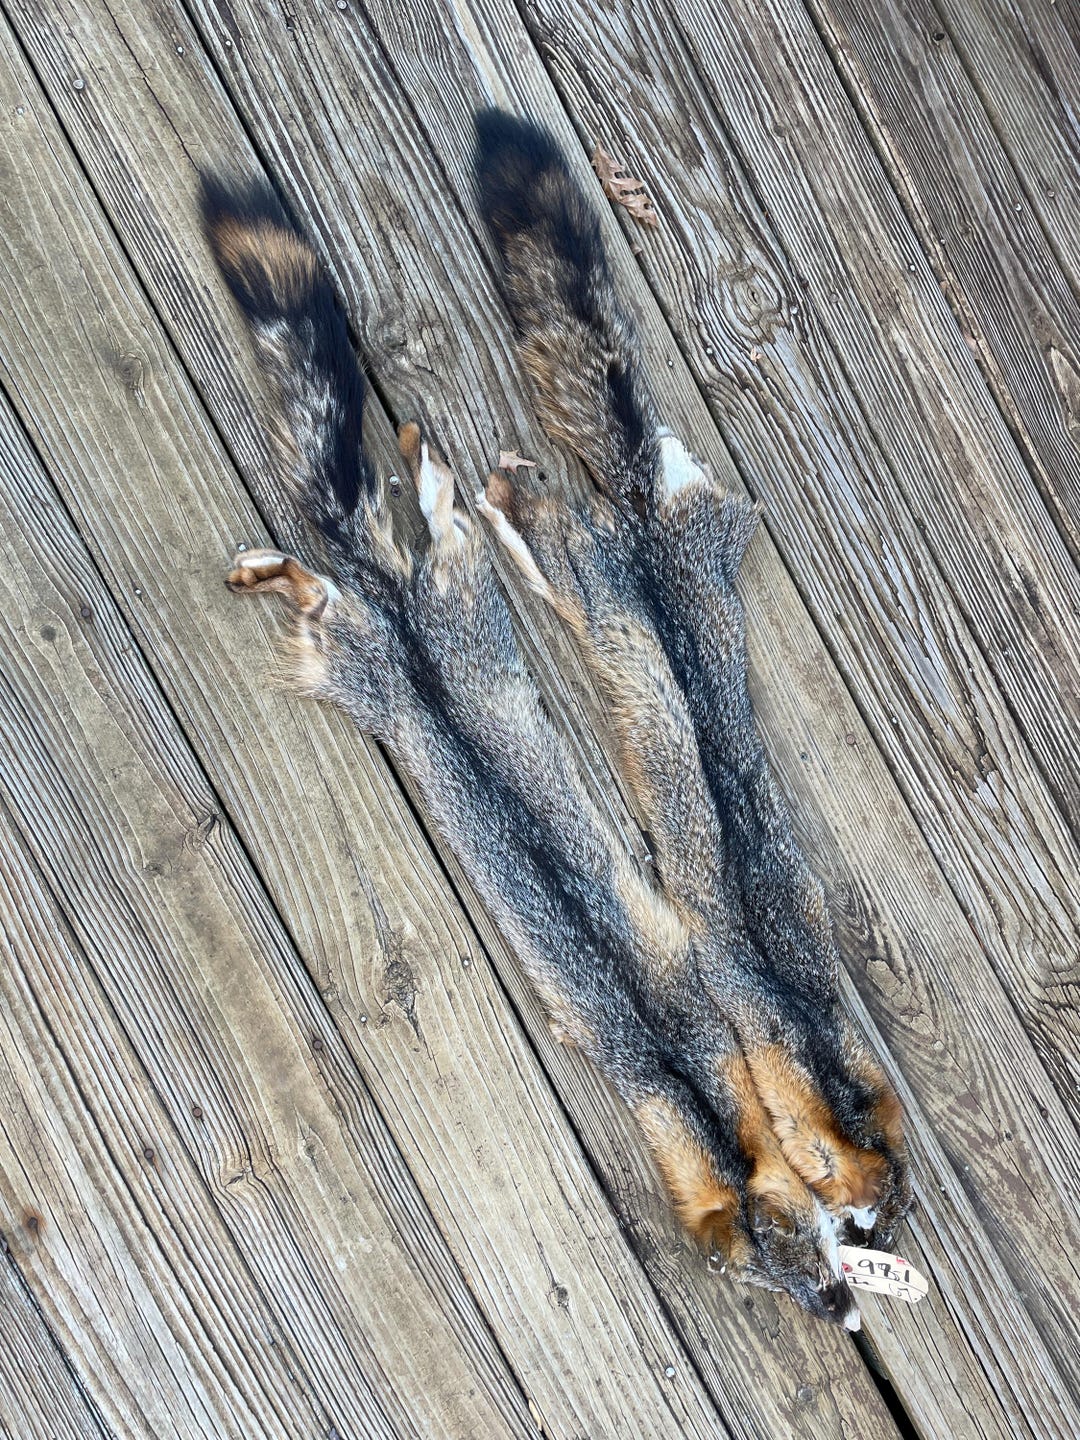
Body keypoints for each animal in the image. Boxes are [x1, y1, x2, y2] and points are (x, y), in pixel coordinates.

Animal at [201, 176, 861, 1325]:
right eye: (796, 1275)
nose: (852, 1307)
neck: (688, 1085)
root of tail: (402, 630)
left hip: (407, 623)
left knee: (366, 556)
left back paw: (373, 498)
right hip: (464, 605)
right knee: (449, 527)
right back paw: (438, 474)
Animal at [471, 110, 911, 1247]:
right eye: (870, 1216)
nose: (867, 1250)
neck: (805, 1038)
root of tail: (644, 513)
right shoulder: (749, 1024)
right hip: (588, 590)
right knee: (544, 541)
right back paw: (501, 500)